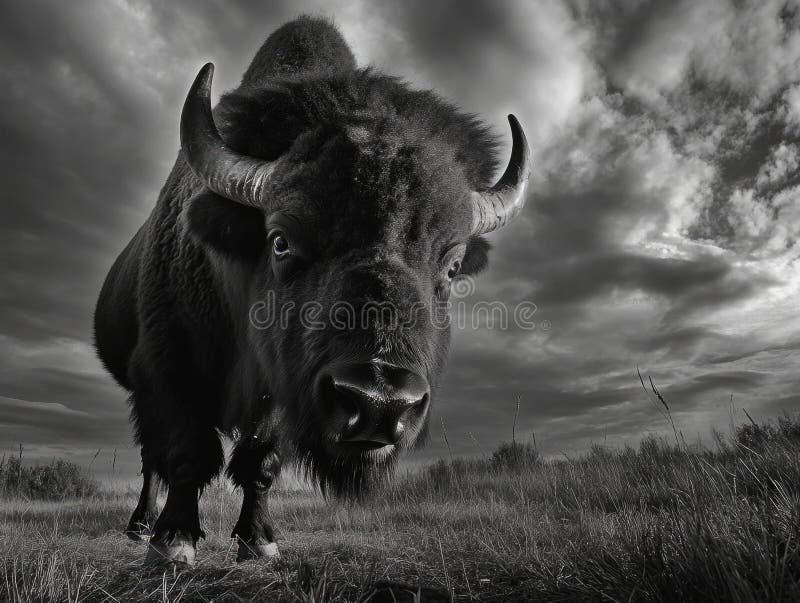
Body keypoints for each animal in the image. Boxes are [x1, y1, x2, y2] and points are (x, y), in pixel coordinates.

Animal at [94, 15, 530, 566]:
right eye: (280, 240)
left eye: (451, 266)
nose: (380, 402)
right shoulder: (169, 363)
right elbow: (187, 452)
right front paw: (173, 543)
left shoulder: (280, 399)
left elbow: (260, 463)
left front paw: (258, 541)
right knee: (152, 458)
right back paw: (140, 527)